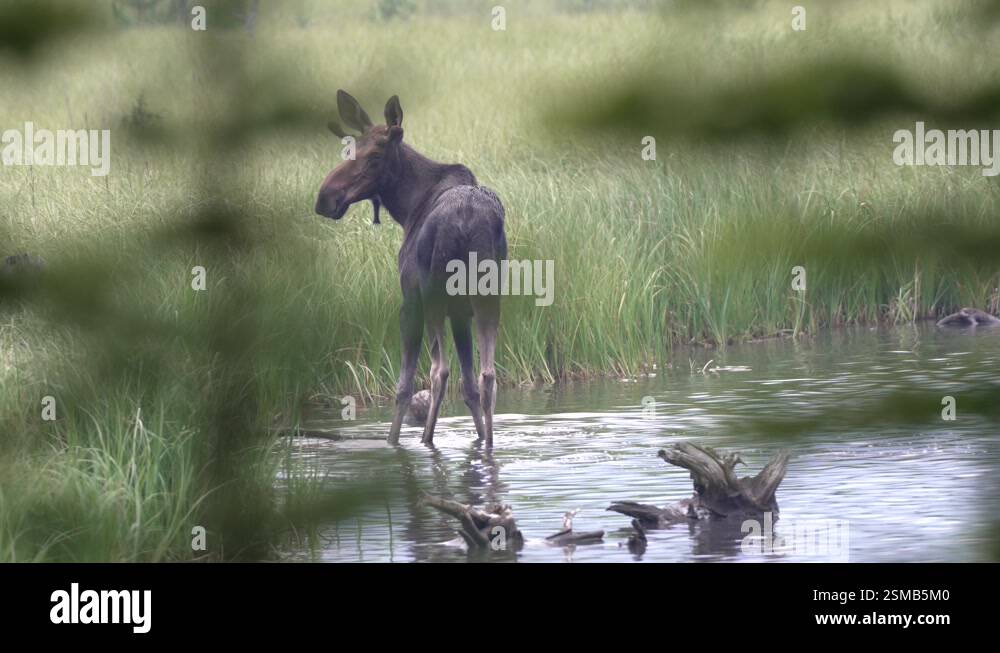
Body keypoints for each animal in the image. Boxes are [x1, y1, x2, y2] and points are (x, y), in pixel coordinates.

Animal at [316, 90, 507, 446]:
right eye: (349, 148)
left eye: (375, 155)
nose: (325, 198)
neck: (407, 208)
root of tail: (466, 219)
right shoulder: (460, 311)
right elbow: (469, 387)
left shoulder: (410, 300)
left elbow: (404, 386)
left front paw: (393, 442)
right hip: (486, 296)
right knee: (487, 375)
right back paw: (487, 445)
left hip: (433, 296)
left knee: (439, 370)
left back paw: (426, 440)